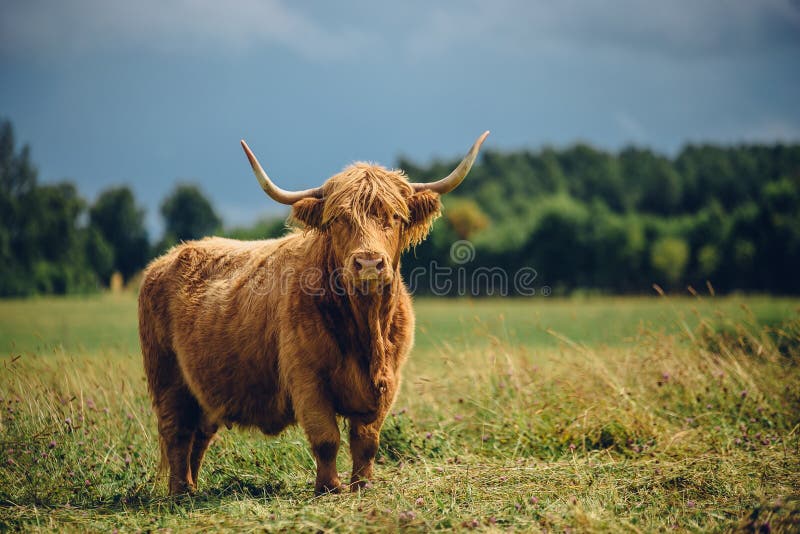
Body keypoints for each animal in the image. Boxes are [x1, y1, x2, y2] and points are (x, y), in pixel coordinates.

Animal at [139, 131, 489, 495]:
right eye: (338, 219)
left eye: (394, 216)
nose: (368, 263)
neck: (366, 328)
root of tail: (166, 259)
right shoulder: (307, 379)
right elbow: (326, 437)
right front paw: (329, 487)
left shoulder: (388, 381)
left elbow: (367, 440)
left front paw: (362, 484)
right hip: (167, 376)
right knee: (177, 432)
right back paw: (180, 492)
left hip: (205, 387)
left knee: (200, 435)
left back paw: (193, 488)